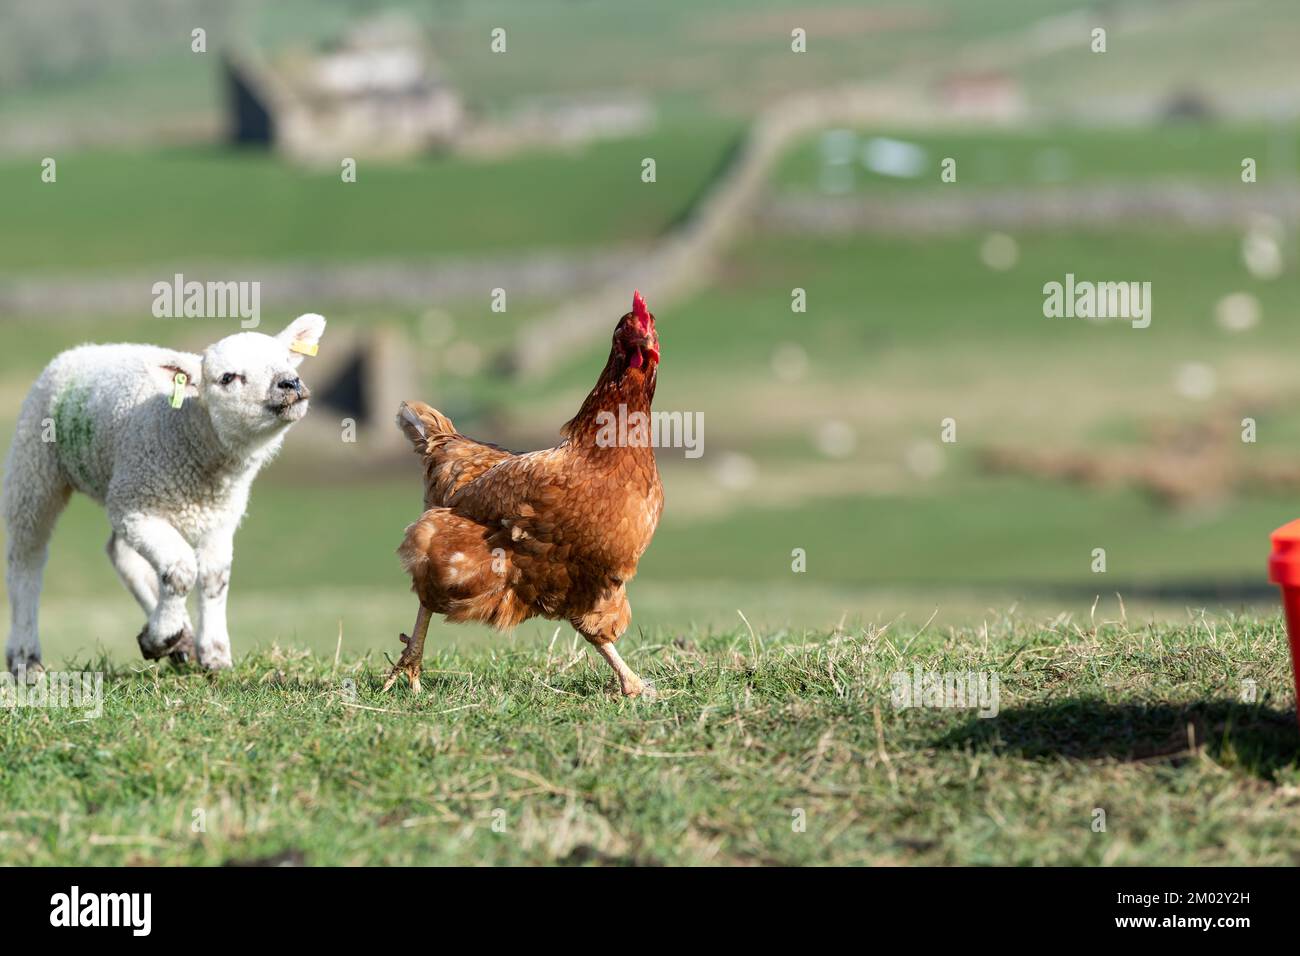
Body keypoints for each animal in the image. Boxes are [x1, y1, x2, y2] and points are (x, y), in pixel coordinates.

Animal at [3, 313, 326, 677]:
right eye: (228, 378)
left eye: (286, 360)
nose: (290, 383)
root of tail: (81, 349)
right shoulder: (137, 508)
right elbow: (182, 570)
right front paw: (161, 636)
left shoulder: (219, 516)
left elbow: (214, 578)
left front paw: (214, 654)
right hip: (36, 467)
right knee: (27, 556)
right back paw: (25, 657)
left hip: (119, 483)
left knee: (121, 554)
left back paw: (181, 640)